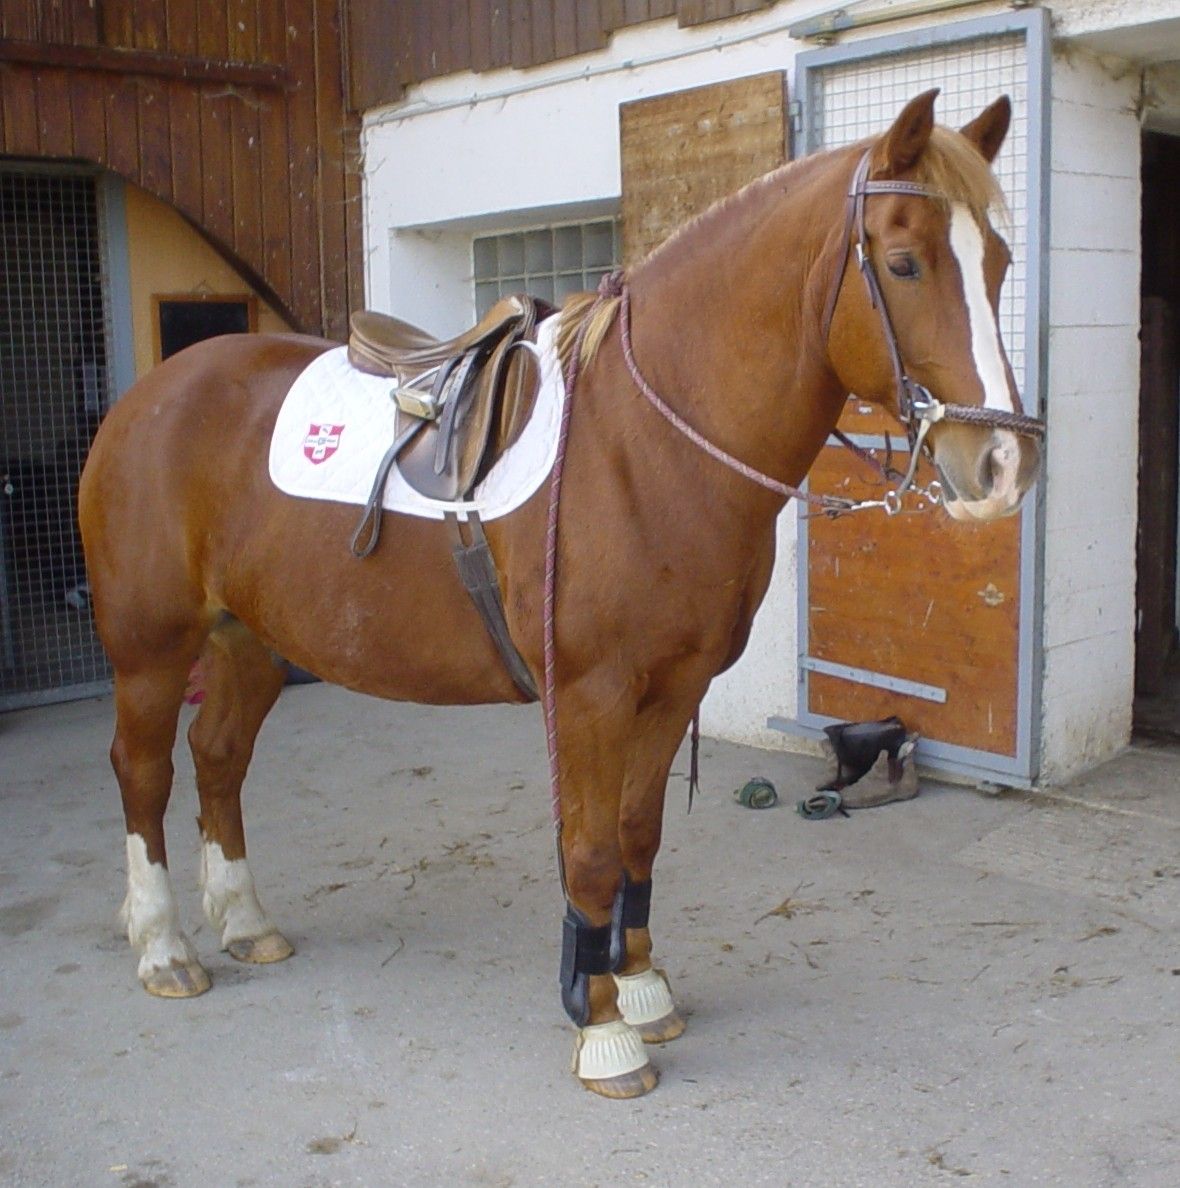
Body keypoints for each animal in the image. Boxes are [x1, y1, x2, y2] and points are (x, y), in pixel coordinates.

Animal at [78, 90, 1042, 1099]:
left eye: (999, 262)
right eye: (903, 262)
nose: (1003, 465)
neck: (644, 443)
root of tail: (151, 395)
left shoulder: (673, 689)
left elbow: (637, 836)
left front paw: (642, 987)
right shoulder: (591, 695)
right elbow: (589, 854)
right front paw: (605, 1030)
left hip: (252, 641)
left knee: (219, 759)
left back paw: (245, 922)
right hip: (150, 648)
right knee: (143, 773)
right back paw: (163, 947)